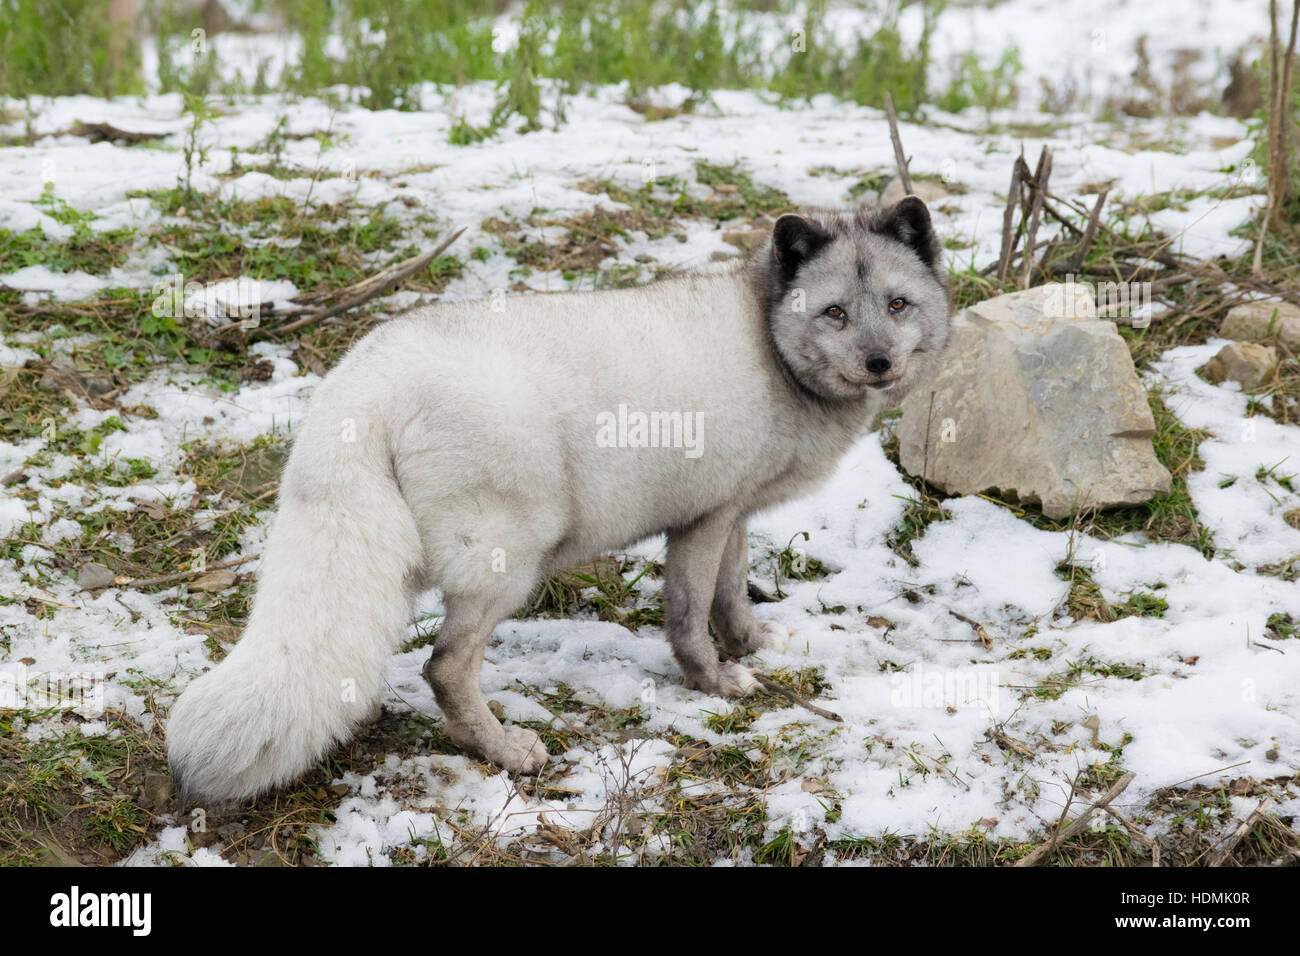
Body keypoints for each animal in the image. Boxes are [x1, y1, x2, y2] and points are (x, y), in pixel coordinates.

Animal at [166, 196, 953, 805]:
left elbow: (732, 593)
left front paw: (753, 644)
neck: (770, 341)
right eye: (835, 314)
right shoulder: (702, 520)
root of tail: (360, 381)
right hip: (510, 562)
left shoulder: (732, 511)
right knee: (443, 666)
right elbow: (690, 613)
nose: (879, 362)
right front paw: (715, 682)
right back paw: (506, 751)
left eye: (897, 305)